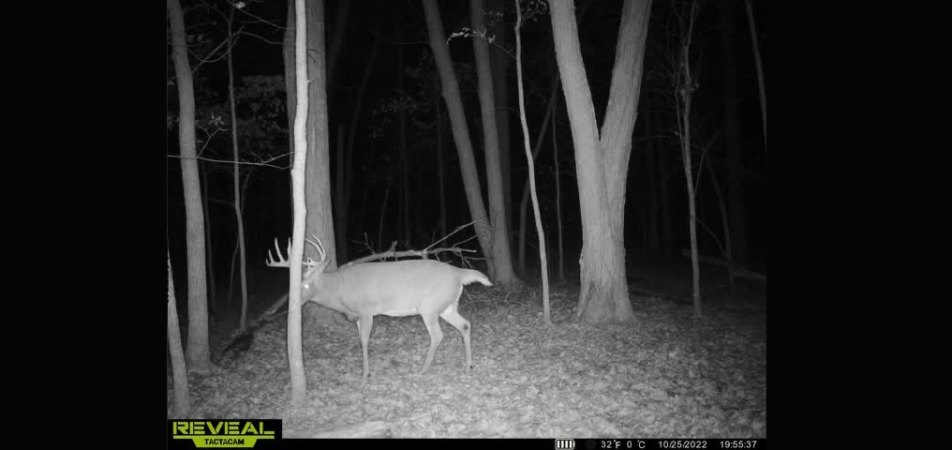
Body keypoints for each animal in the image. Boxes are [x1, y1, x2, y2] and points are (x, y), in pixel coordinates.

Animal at [266, 238, 492, 377]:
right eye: (293, 285)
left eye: (305, 285)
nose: (292, 302)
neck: (340, 289)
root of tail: (459, 273)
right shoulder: (358, 315)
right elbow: (361, 339)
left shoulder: (366, 310)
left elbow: (364, 341)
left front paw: (365, 374)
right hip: (446, 306)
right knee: (465, 324)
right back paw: (468, 365)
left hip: (429, 306)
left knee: (438, 335)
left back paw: (423, 369)